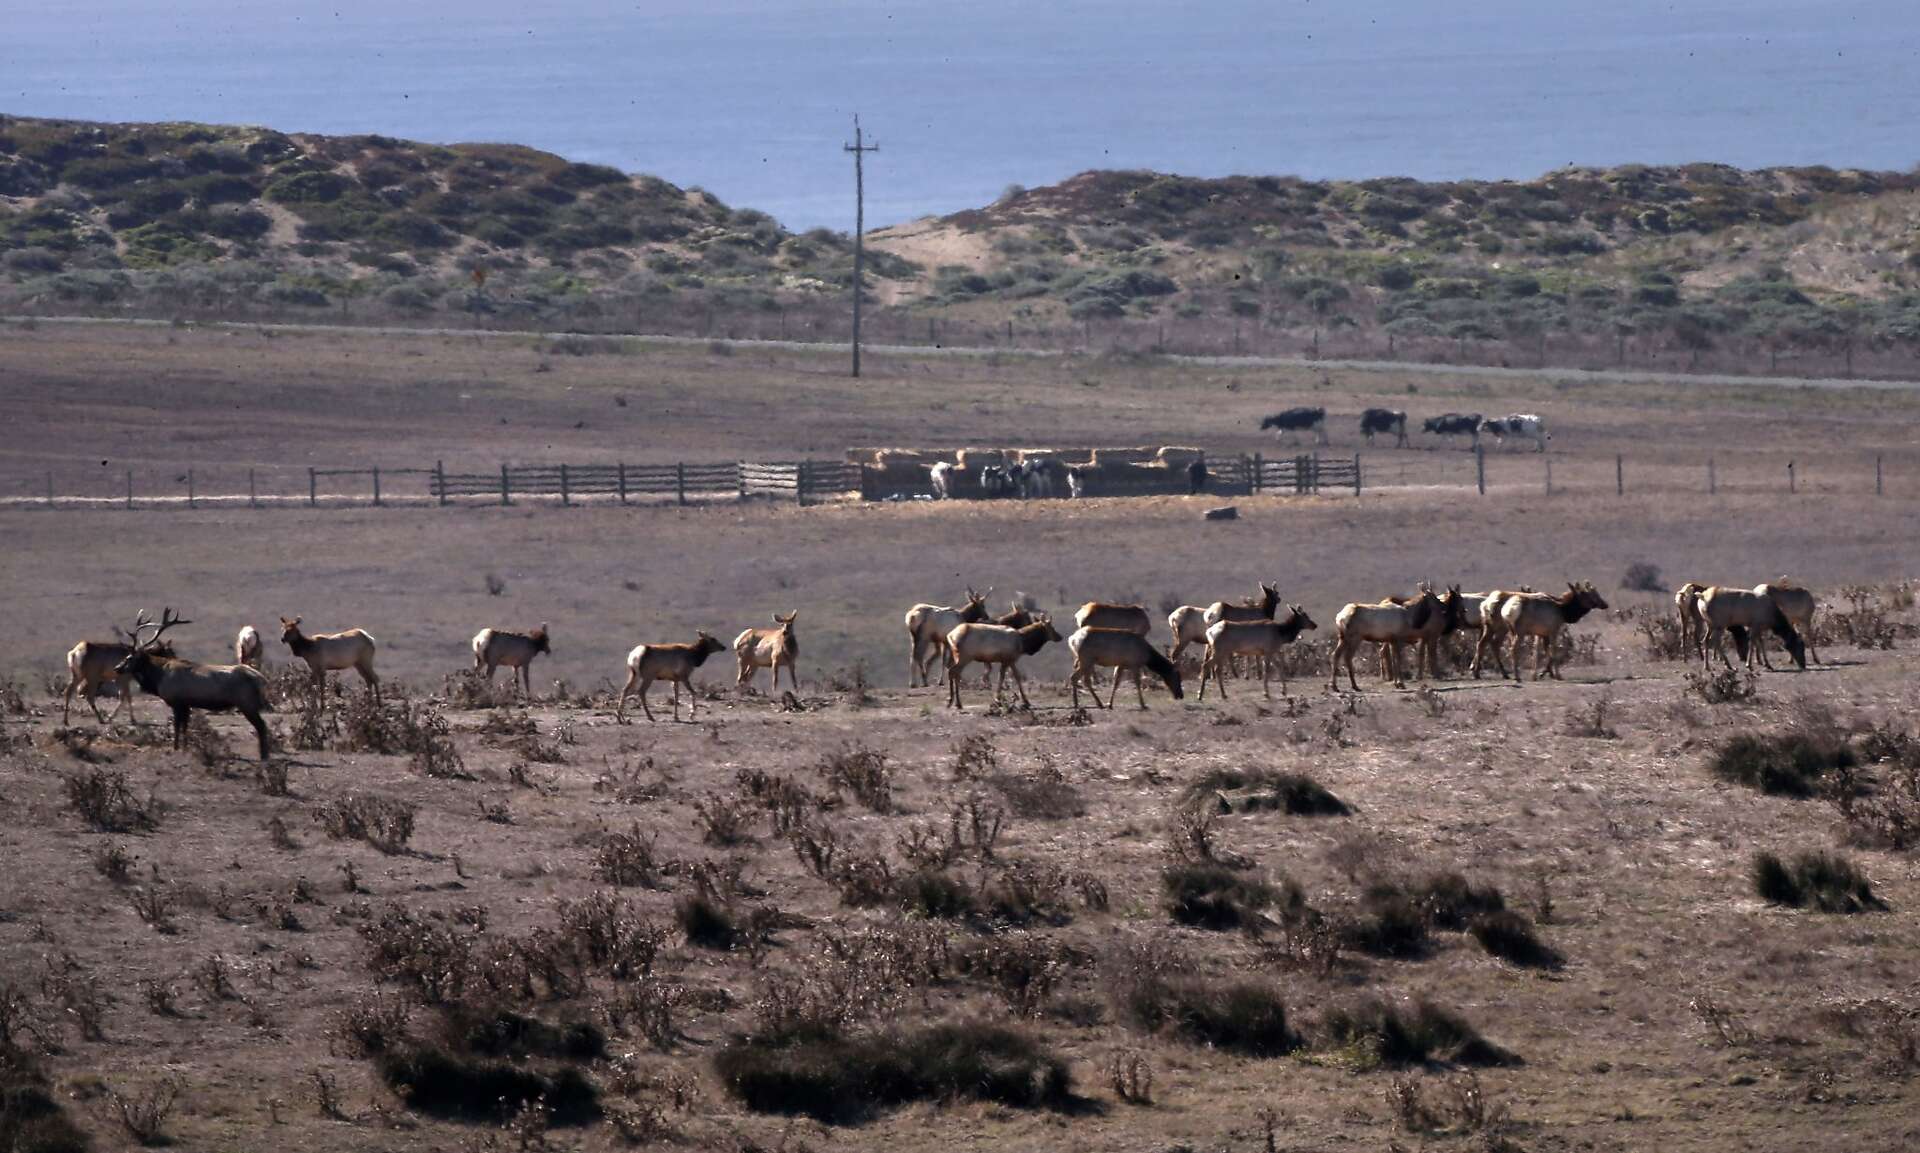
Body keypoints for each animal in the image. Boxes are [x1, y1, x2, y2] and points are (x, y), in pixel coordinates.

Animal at [113, 608, 273, 760]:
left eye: (129, 658)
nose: (117, 668)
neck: (158, 676)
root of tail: (261, 679)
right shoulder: (186, 704)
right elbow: (185, 727)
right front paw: (185, 748)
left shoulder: (177, 702)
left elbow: (177, 726)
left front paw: (176, 748)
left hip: (247, 703)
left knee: (261, 726)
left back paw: (264, 756)